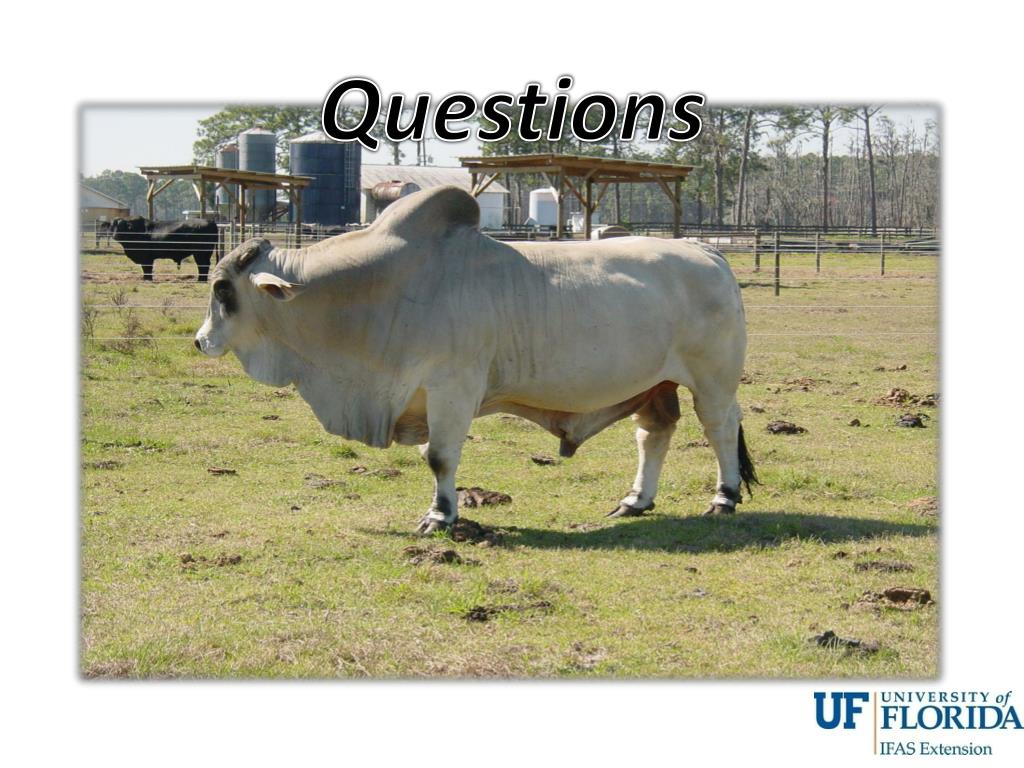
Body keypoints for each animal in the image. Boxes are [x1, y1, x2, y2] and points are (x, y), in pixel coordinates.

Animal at [194, 186, 757, 534]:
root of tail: (707, 251)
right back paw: (635, 500)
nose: (200, 341)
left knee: (720, 428)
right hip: (654, 384)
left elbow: (440, 457)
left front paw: (441, 517)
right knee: (653, 434)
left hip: (713, 379)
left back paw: (723, 498)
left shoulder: (453, 389)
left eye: (224, 290)